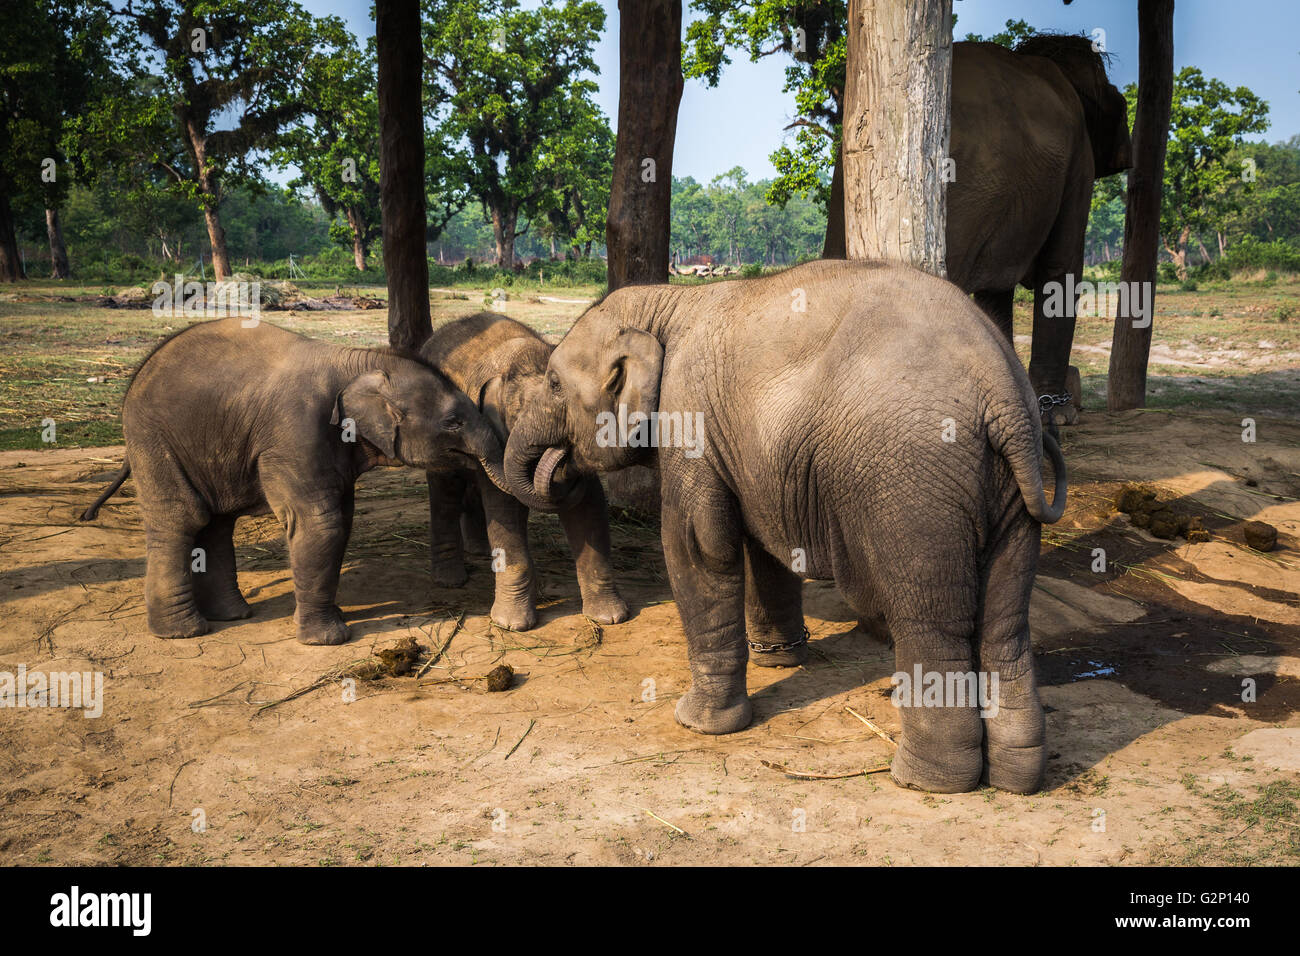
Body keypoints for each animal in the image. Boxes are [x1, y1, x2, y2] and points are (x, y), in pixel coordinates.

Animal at [80, 318, 510, 646]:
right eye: (453, 422)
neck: (360, 361)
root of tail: (137, 376)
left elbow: (343, 520)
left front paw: (333, 617)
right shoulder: (294, 434)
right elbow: (321, 524)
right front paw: (329, 639)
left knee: (216, 523)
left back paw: (233, 615)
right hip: (154, 441)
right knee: (182, 518)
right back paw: (184, 632)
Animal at [419, 312, 629, 630]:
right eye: (520, 417)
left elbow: (588, 505)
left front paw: (611, 618)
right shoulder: (496, 437)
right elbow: (504, 508)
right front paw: (511, 625)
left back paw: (480, 550)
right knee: (446, 492)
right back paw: (451, 581)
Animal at [504, 260, 1067, 794]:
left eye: (553, 384)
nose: (558, 466)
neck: (670, 301)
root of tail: (1004, 395)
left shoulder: (689, 419)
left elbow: (699, 545)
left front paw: (697, 723)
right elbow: (764, 544)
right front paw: (780, 663)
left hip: (913, 489)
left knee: (929, 621)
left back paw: (922, 780)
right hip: (1009, 494)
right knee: (1005, 624)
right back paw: (1016, 780)